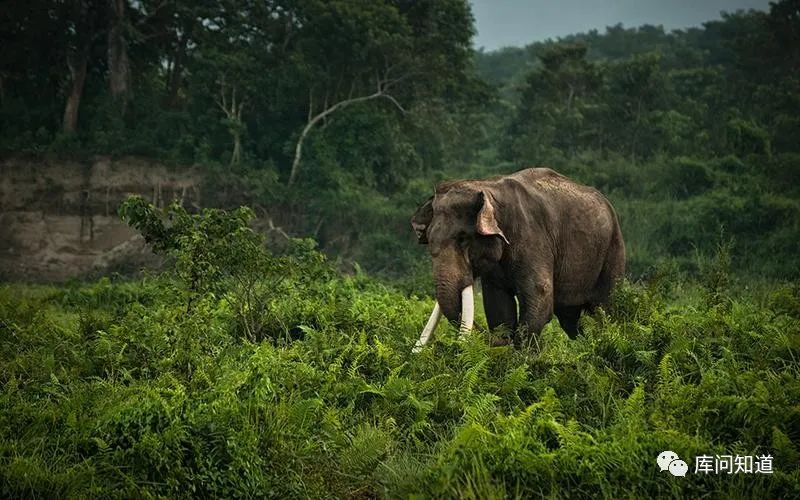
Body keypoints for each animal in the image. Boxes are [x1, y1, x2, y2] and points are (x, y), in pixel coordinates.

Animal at [412, 168, 624, 352]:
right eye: (429, 241)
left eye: (463, 239)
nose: (496, 343)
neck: (487, 187)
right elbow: (499, 307)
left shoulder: (533, 239)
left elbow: (539, 296)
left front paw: (522, 357)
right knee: (570, 319)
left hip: (613, 250)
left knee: (605, 308)